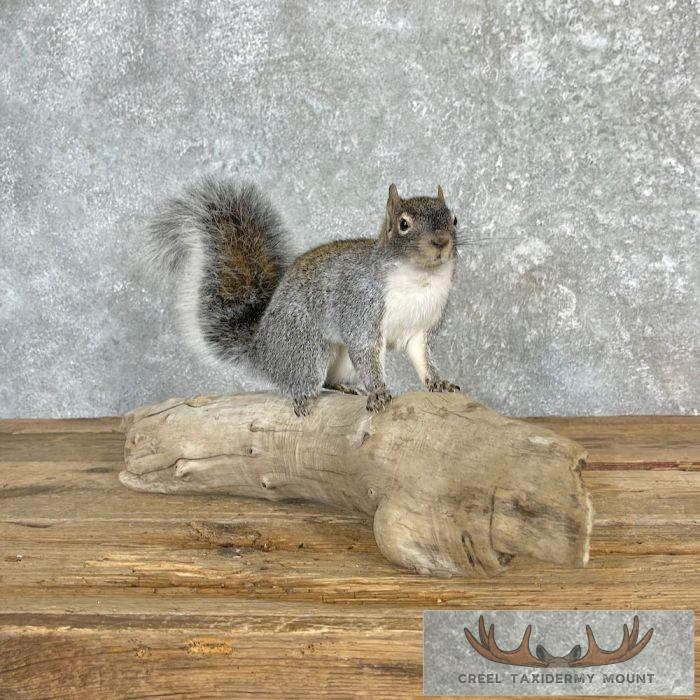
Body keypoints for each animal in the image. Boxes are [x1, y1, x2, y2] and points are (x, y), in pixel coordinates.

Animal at [147, 176, 461, 415]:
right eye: (403, 224)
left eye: (454, 219)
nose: (441, 241)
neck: (419, 279)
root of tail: (262, 349)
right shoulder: (361, 306)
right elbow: (366, 350)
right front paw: (379, 391)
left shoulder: (421, 327)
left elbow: (422, 357)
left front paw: (439, 382)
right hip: (305, 347)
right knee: (304, 380)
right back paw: (304, 396)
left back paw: (344, 387)